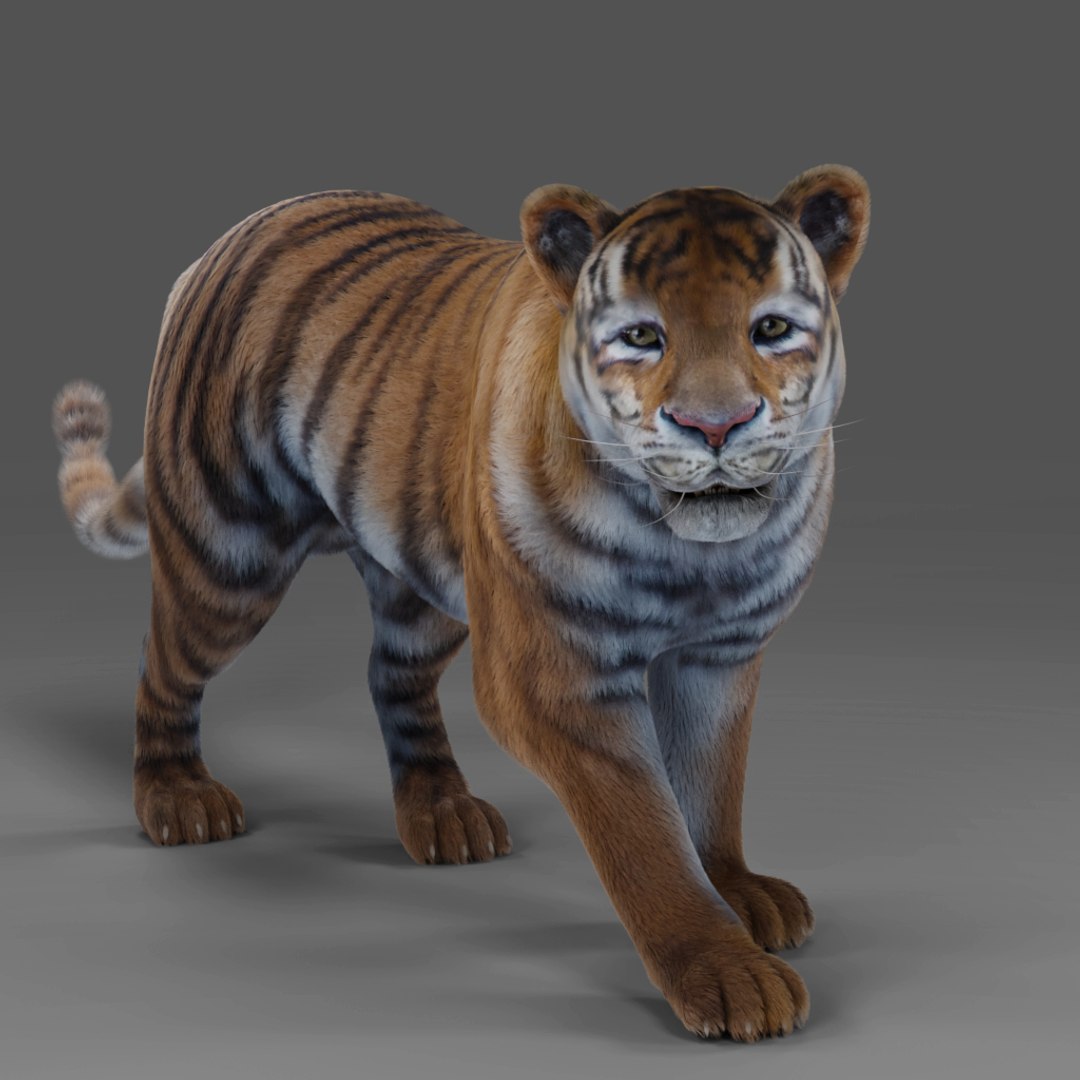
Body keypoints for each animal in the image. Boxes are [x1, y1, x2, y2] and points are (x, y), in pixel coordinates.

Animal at [53, 165, 869, 1041]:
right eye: (643, 337)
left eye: (772, 329)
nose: (713, 426)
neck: (695, 553)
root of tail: (238, 232)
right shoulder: (556, 678)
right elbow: (643, 829)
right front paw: (725, 972)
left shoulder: (719, 657)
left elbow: (712, 788)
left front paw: (738, 890)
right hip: (227, 559)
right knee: (164, 662)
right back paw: (176, 796)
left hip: (421, 583)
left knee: (392, 677)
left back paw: (442, 813)